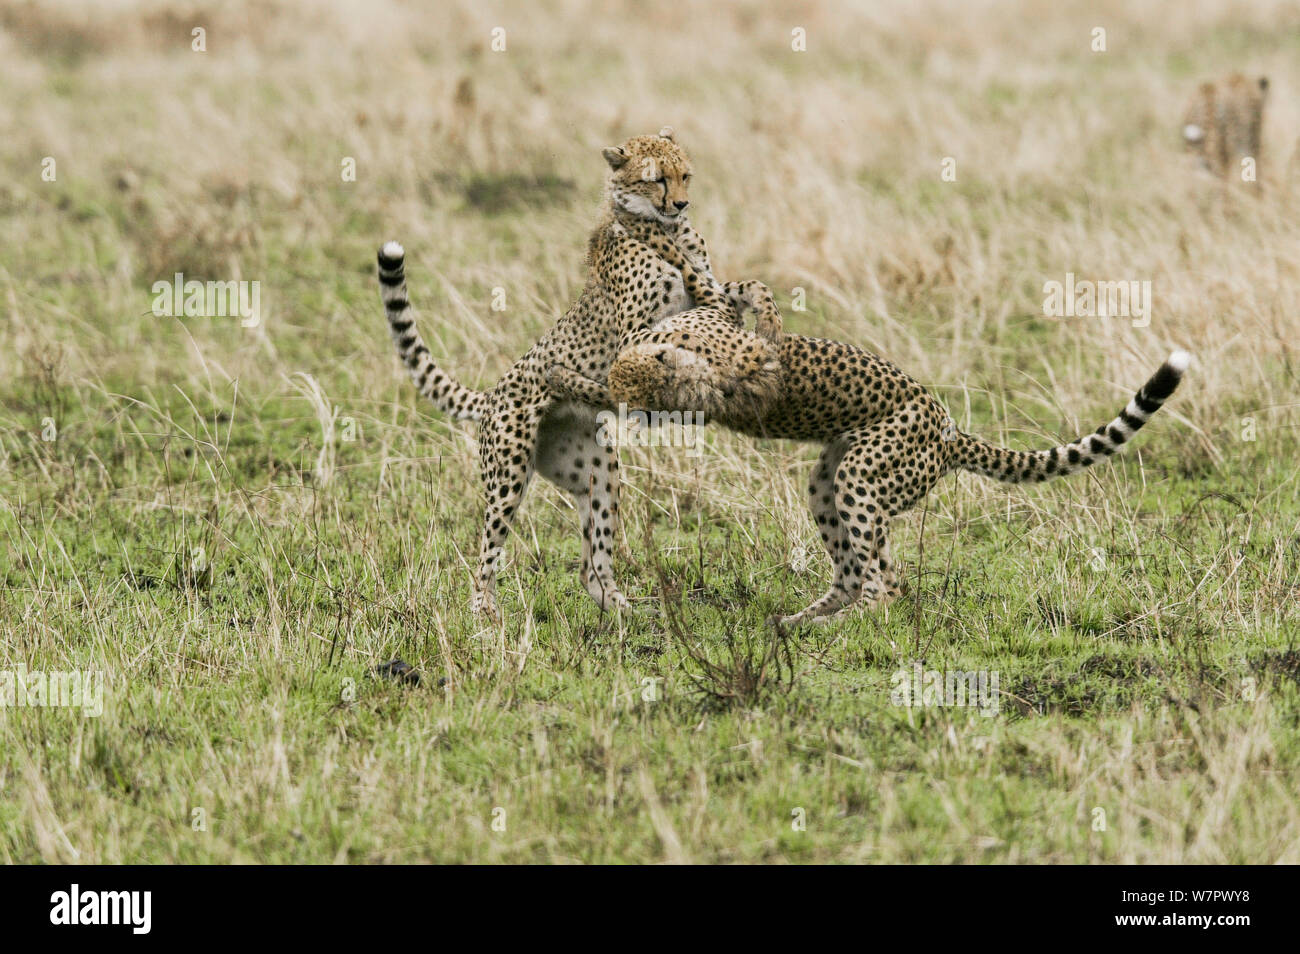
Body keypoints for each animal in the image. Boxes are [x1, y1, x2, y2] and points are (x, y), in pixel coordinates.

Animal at [378, 127, 782, 621]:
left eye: (684, 175)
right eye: (656, 179)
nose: (682, 204)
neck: (665, 229)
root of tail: (492, 394)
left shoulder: (709, 291)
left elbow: (748, 287)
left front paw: (770, 325)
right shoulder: (637, 333)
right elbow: (689, 321)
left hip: (597, 472)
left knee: (591, 567)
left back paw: (627, 612)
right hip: (509, 474)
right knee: (484, 557)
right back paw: (484, 615)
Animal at [546, 242, 1192, 625]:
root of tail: (949, 430)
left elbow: (732, 292)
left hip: (866, 470)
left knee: (885, 588)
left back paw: (839, 623)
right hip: (832, 480)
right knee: (867, 573)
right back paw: (808, 618)